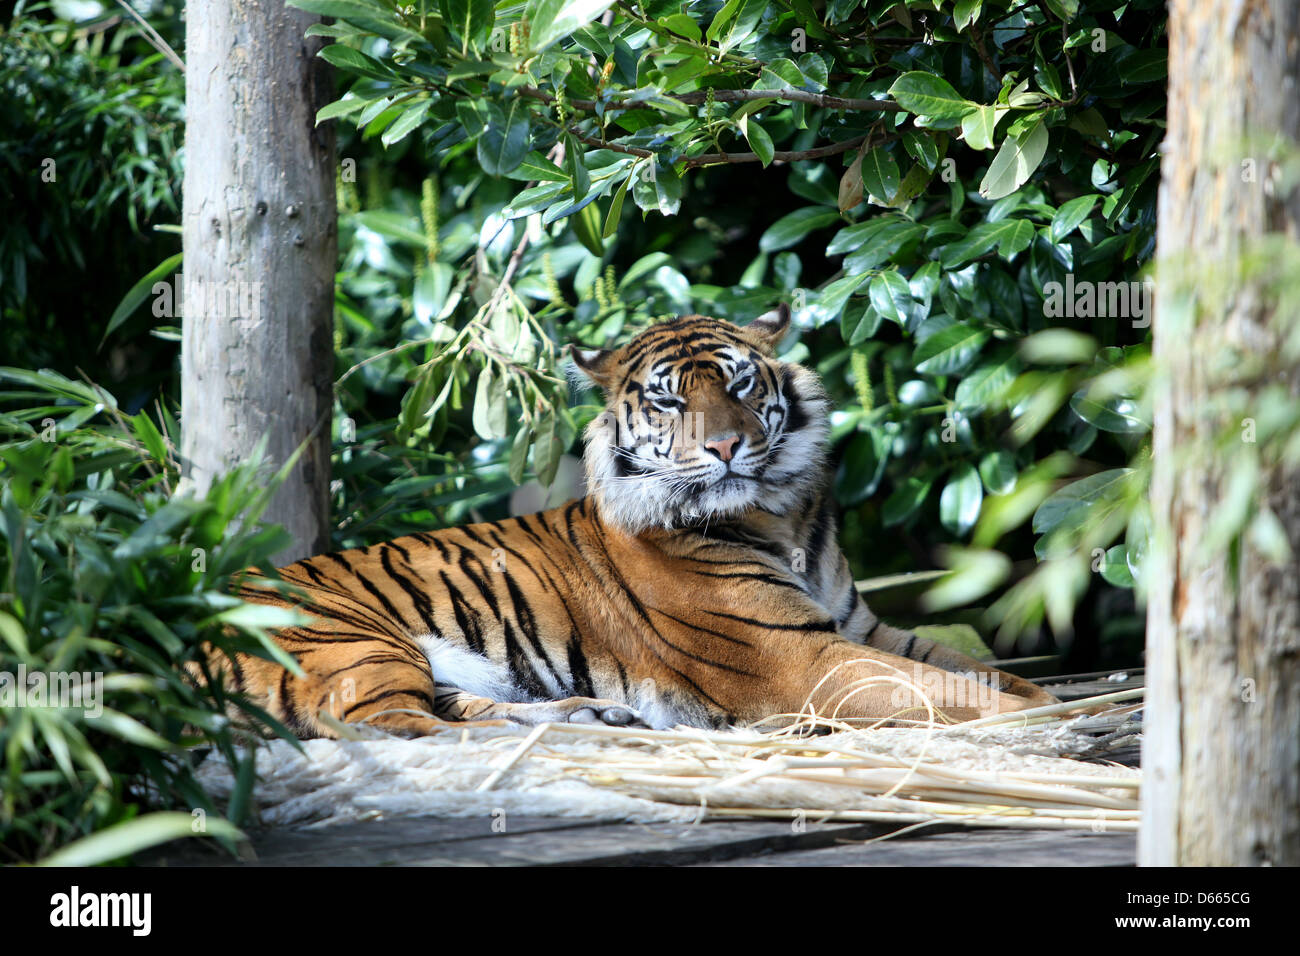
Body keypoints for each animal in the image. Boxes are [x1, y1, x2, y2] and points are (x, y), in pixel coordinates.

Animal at [220, 307, 1057, 738]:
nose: (725, 447)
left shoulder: (861, 629)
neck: (779, 516)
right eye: (667, 400)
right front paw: (1047, 720)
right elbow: (949, 690)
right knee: (400, 728)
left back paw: (597, 714)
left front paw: (1046, 700)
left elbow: (973, 668)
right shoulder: (804, 658)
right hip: (356, 642)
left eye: (741, 384)